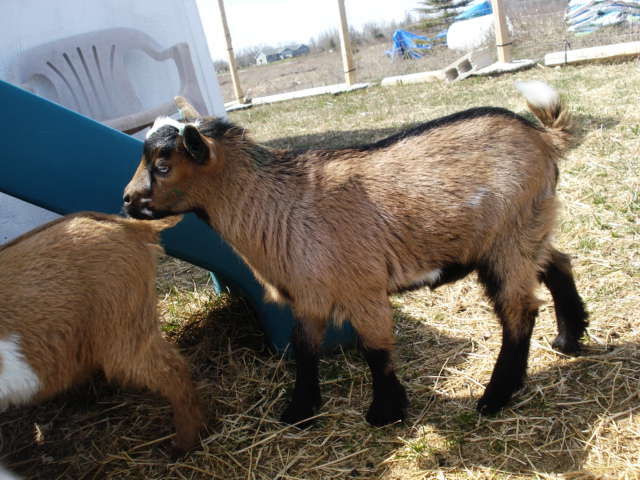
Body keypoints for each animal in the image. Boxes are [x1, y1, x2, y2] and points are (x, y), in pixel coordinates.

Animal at [123, 83, 588, 426]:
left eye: (163, 165)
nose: (126, 200)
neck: (279, 204)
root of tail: (543, 137)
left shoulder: (361, 286)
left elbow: (375, 347)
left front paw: (385, 413)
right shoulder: (308, 294)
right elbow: (303, 347)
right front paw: (299, 410)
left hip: (507, 239)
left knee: (518, 311)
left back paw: (495, 397)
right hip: (530, 226)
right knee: (558, 263)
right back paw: (569, 339)